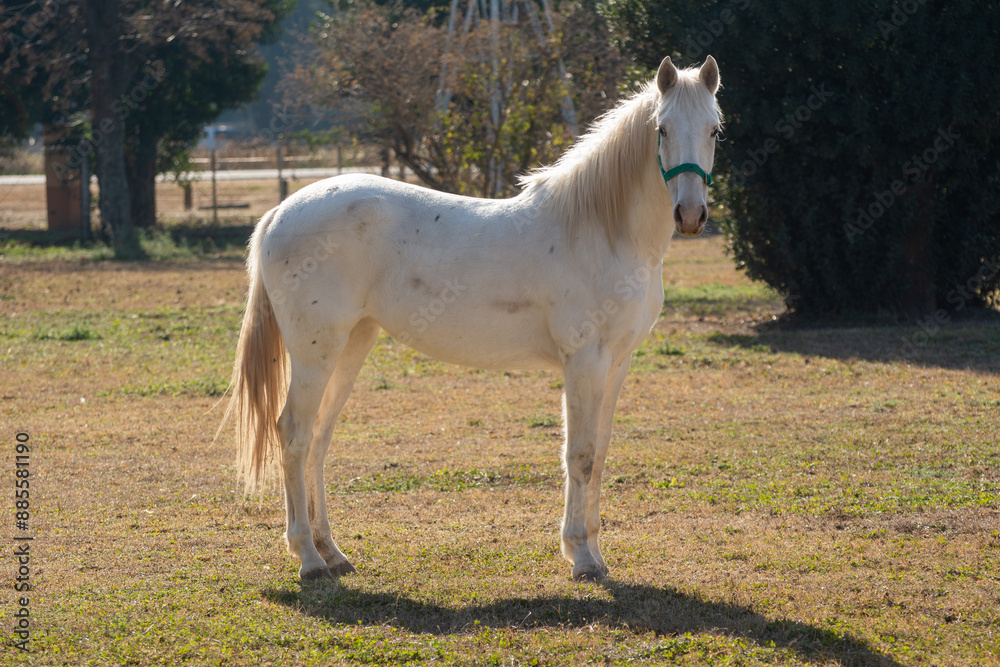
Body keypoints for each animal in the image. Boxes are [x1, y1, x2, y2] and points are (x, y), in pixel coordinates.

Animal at [224, 55, 722, 582]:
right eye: (662, 129)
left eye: (714, 130)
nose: (691, 215)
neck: (599, 229)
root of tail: (280, 212)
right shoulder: (584, 361)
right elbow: (580, 455)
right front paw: (581, 556)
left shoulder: (618, 363)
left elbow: (601, 453)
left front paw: (594, 552)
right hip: (314, 354)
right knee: (293, 435)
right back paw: (308, 557)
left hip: (350, 346)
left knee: (318, 439)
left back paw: (332, 552)